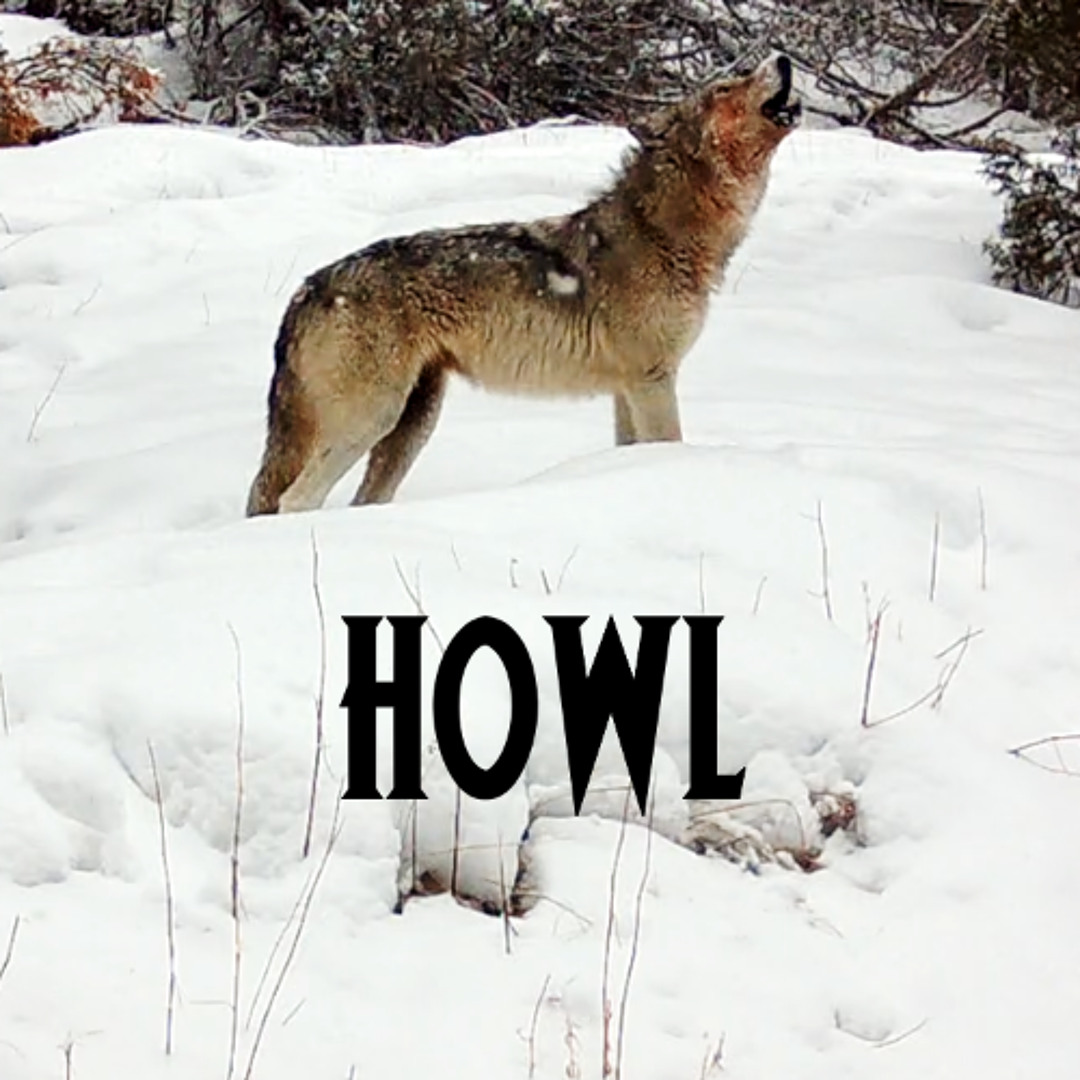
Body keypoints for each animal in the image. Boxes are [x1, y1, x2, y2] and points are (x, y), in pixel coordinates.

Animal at [246, 55, 800, 515]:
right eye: (728, 85)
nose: (783, 59)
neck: (662, 232)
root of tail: (307, 288)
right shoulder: (653, 380)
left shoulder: (627, 389)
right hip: (372, 418)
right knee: (296, 499)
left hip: (411, 424)